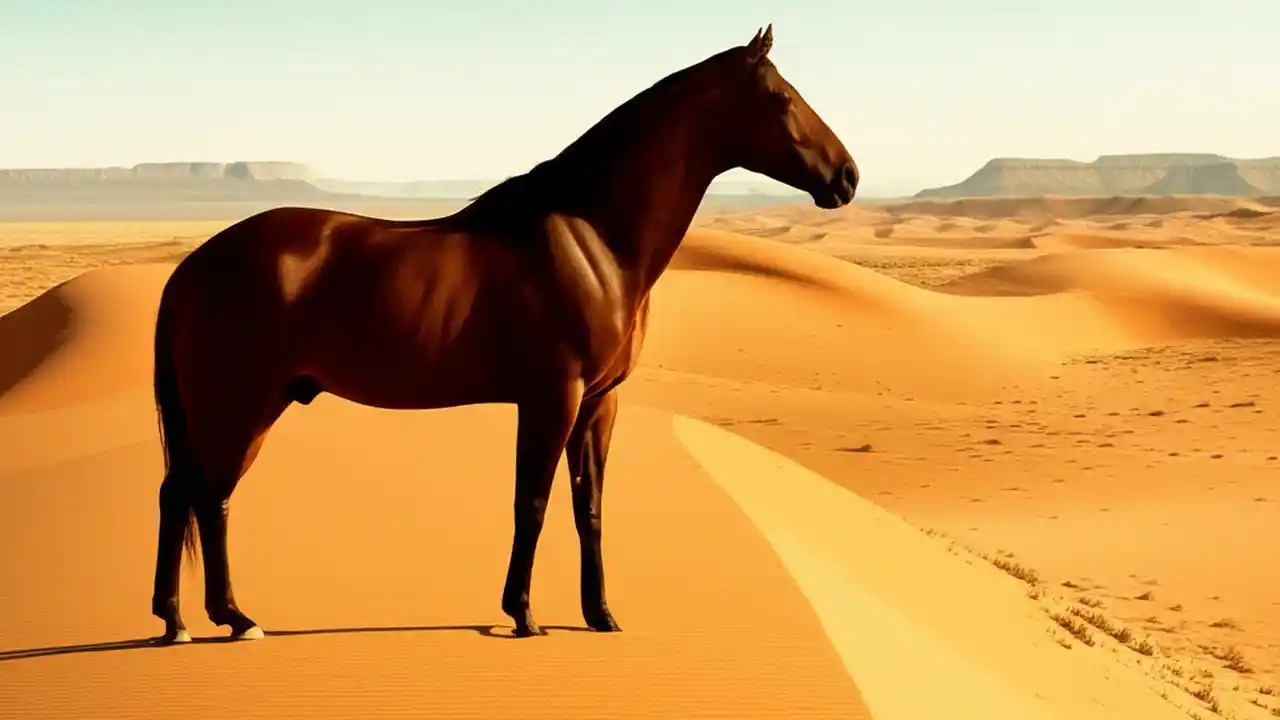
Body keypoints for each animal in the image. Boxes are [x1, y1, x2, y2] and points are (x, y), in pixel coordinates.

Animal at [150, 24, 858, 644]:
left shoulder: (599, 402)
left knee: (184, 492)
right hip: (239, 405)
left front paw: (601, 615)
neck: (591, 236)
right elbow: (533, 502)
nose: (847, 177)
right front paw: (522, 615)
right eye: (781, 99)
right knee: (206, 496)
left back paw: (179, 621)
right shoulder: (552, 397)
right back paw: (232, 618)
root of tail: (193, 266)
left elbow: (588, 508)